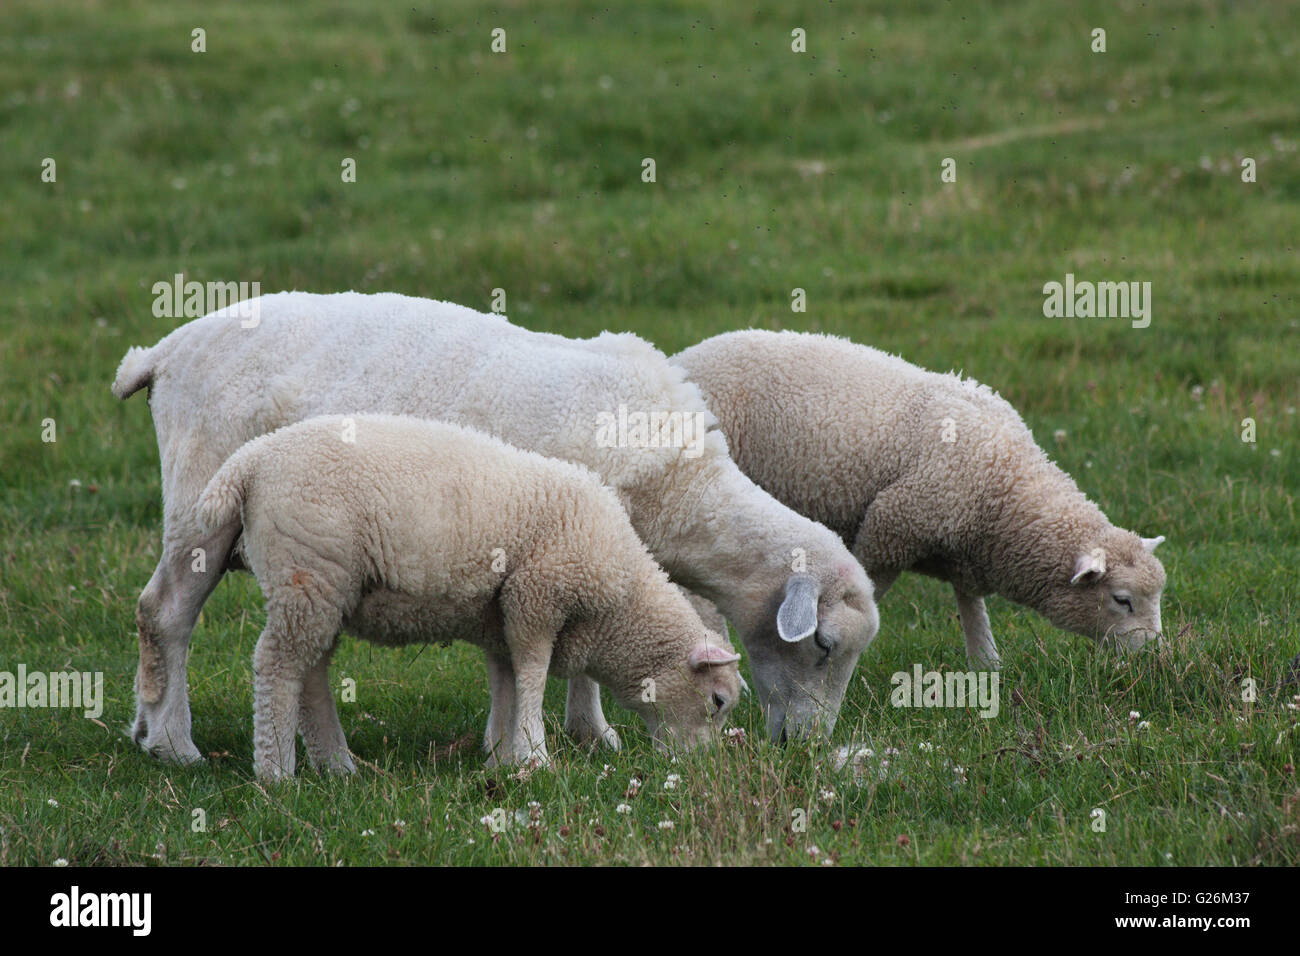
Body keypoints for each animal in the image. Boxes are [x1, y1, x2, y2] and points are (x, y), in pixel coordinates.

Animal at [195, 414, 744, 778]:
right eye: (717, 701)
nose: (702, 767)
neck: (622, 601)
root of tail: (250, 460)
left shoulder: (498, 615)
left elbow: (506, 681)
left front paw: (500, 755)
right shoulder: (536, 595)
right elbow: (532, 674)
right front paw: (535, 756)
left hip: (325, 586)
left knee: (310, 673)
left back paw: (338, 766)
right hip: (307, 573)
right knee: (278, 666)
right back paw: (275, 773)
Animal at [672, 329, 1167, 667]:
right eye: (1122, 600)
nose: (1153, 658)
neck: (1007, 489)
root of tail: (681, 357)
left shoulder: (966, 554)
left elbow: (972, 611)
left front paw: (987, 667)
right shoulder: (891, 528)